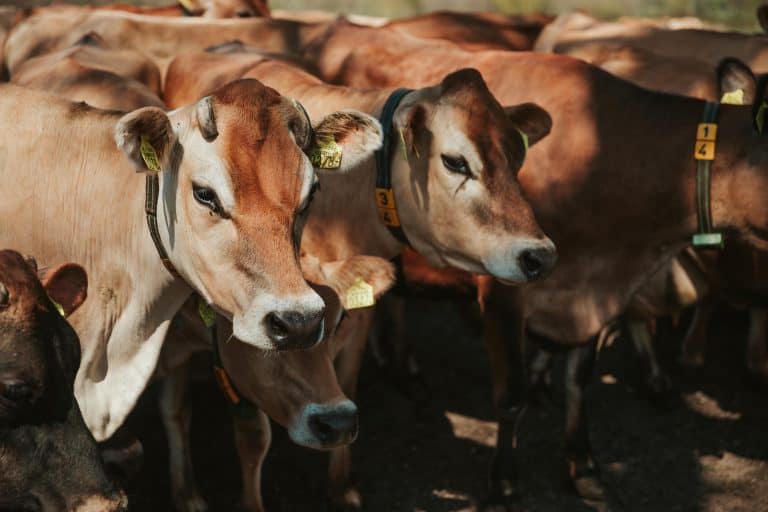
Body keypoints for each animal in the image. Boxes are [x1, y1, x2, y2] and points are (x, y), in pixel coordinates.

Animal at [164, 50, 556, 510]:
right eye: (456, 161)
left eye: (517, 158)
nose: (539, 256)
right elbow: (254, 430)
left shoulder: (354, 314)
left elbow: (345, 381)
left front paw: (343, 487)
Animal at [303, 25, 768, 508]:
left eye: (519, 160)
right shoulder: (505, 289)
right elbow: (512, 395)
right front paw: (503, 483)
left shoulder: (591, 294)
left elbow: (579, 379)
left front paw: (583, 465)